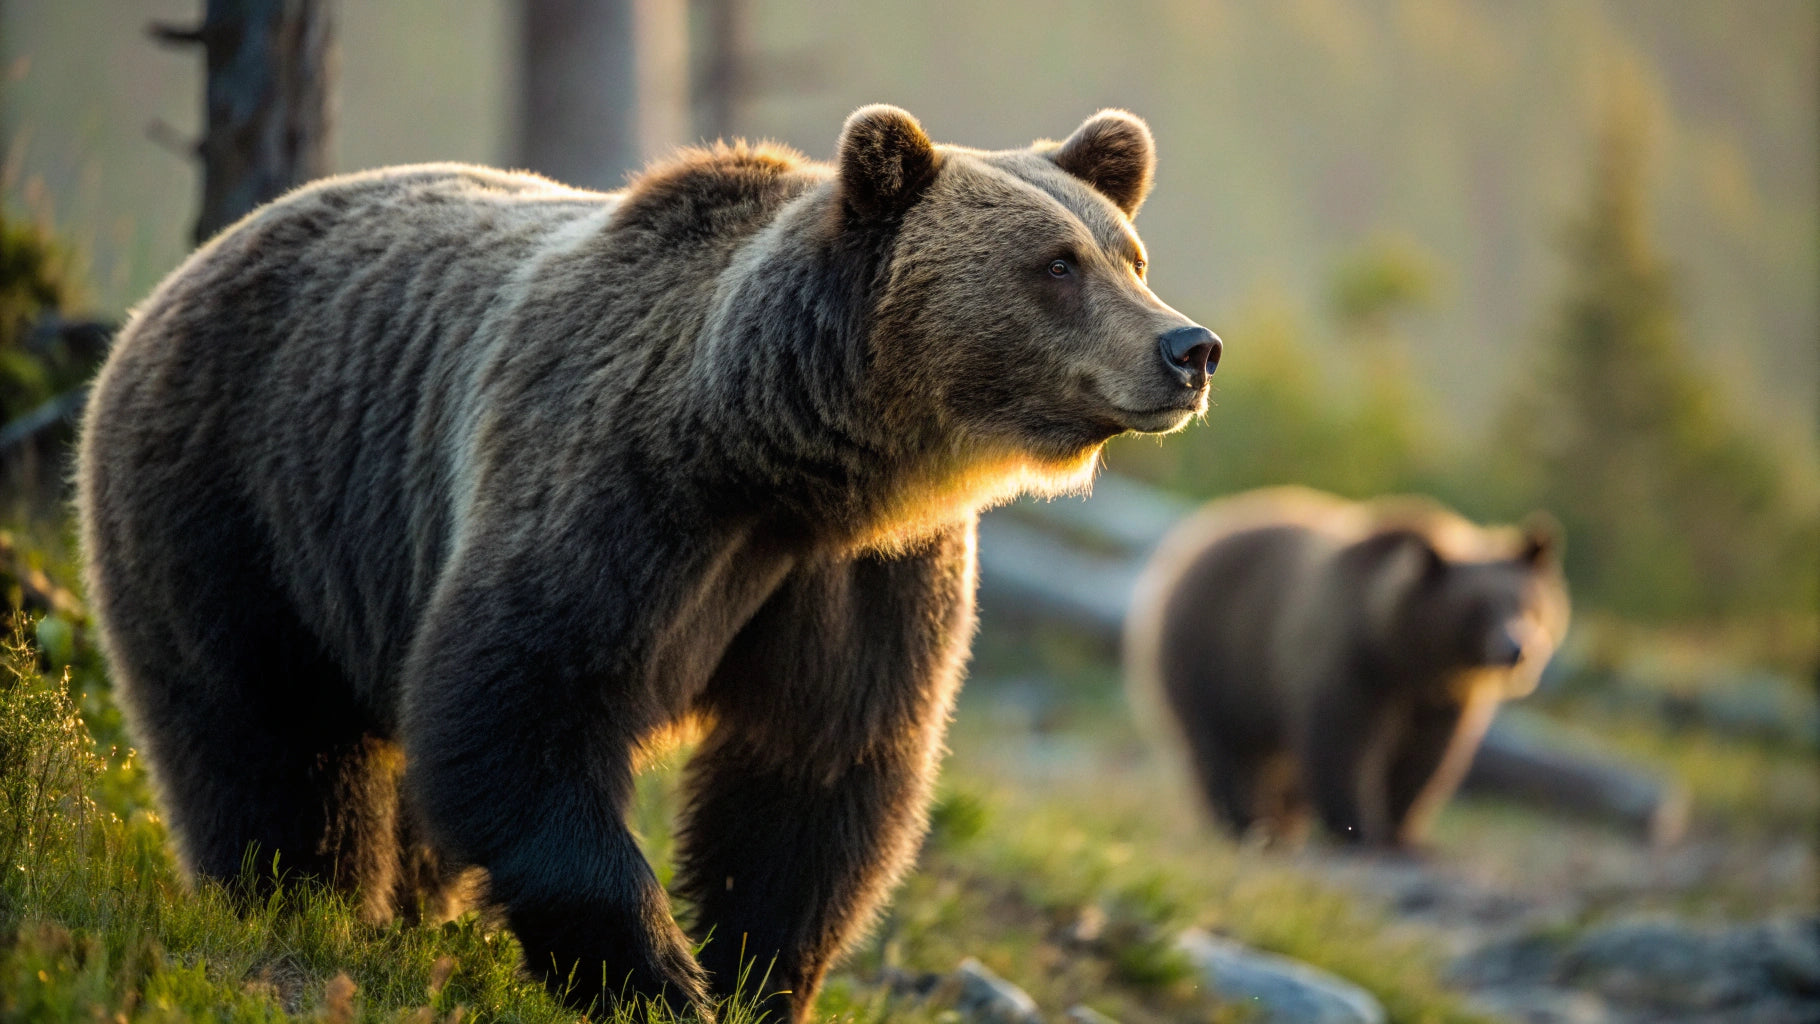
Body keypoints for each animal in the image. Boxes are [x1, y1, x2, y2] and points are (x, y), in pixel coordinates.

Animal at [76, 105, 1220, 1020]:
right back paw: (305, 906)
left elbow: (817, 771)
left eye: (1129, 254)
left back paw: (405, 914)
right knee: (268, 739)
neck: (785, 463)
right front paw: (657, 978)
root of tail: (184, 271)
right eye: (1056, 263)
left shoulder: (863, 575)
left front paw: (756, 978)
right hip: (240, 500)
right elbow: (522, 713)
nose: (1188, 348)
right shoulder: (616, 497)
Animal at [1124, 487, 1568, 849]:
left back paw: (1282, 824)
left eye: (1529, 605)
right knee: (1221, 748)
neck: (1402, 652)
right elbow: (1341, 744)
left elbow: (1427, 757)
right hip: (1213, 655)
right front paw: (1358, 827)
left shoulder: (1440, 697)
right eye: (1479, 608)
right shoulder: (1347, 665)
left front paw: (1401, 831)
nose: (1518, 649)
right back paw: (1247, 822)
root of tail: (1190, 538)